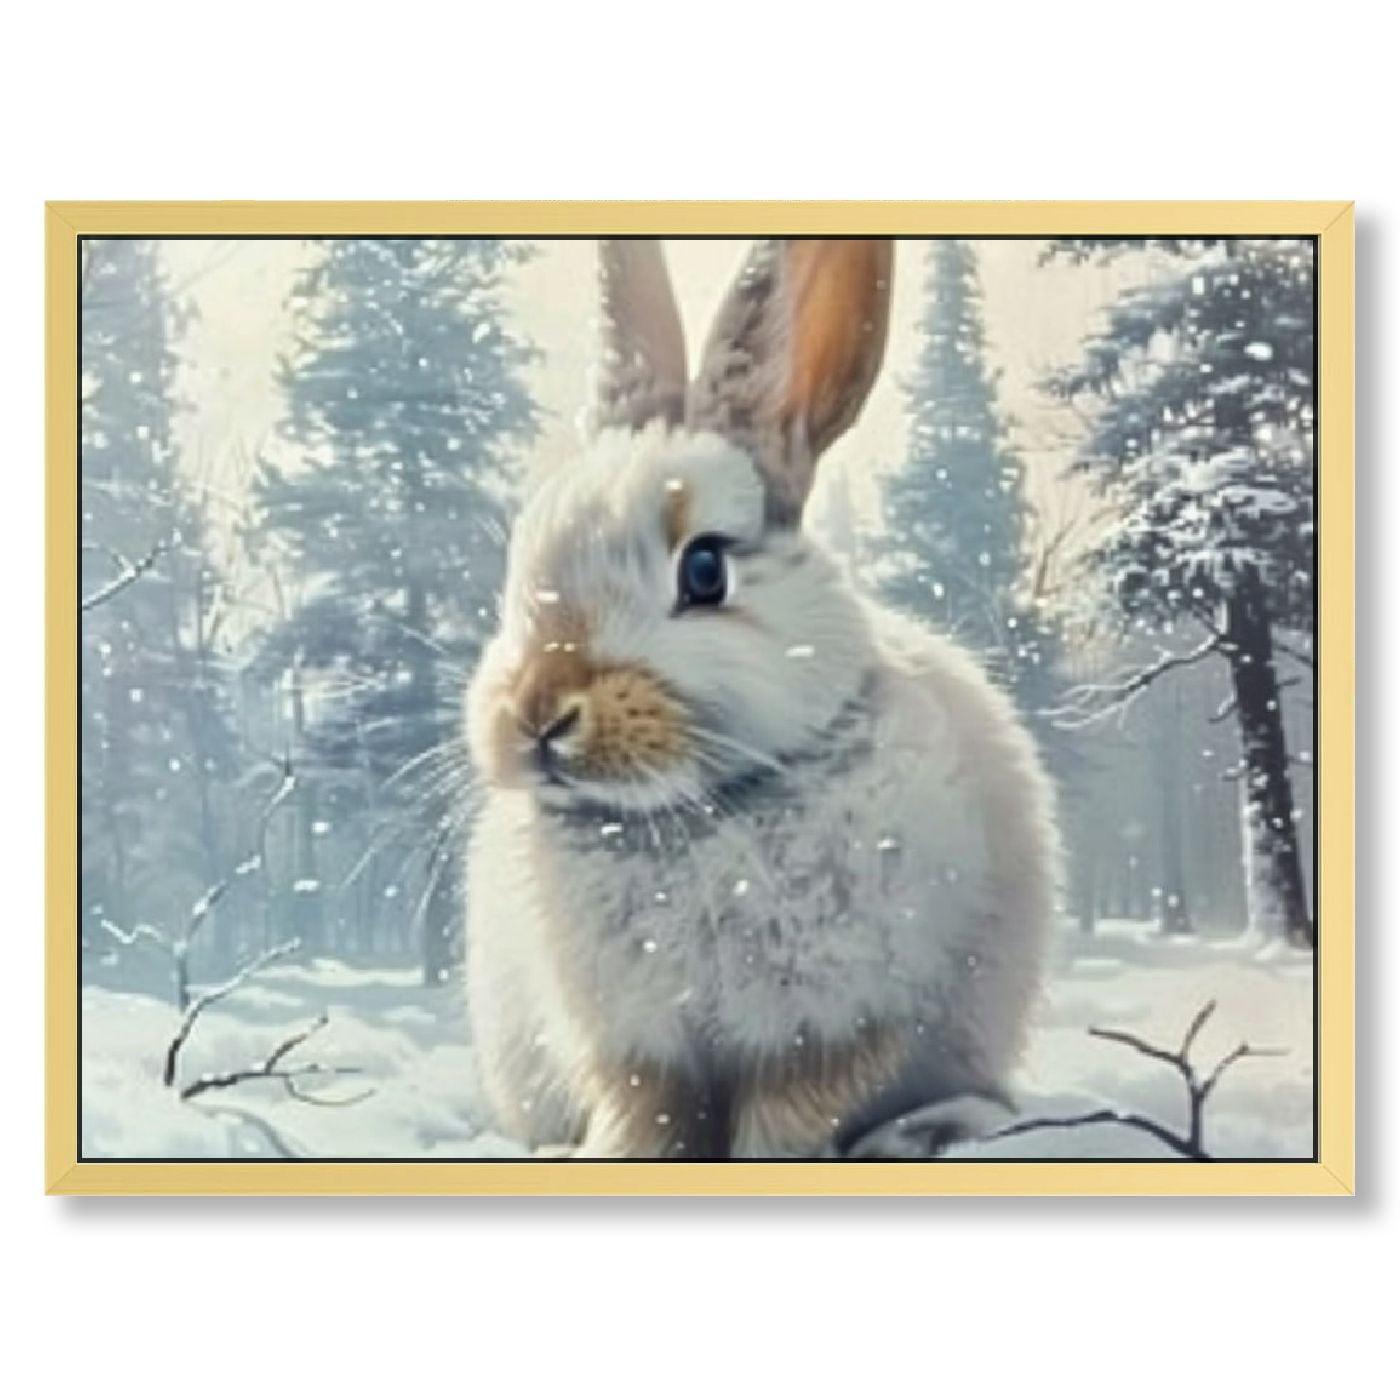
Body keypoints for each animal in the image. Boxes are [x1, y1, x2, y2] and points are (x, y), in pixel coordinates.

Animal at [463, 238, 1060, 1159]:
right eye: (522, 565)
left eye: (705, 570)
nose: (536, 714)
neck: (700, 813)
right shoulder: (635, 1049)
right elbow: (648, 1121)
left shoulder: (841, 1026)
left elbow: (786, 1119)